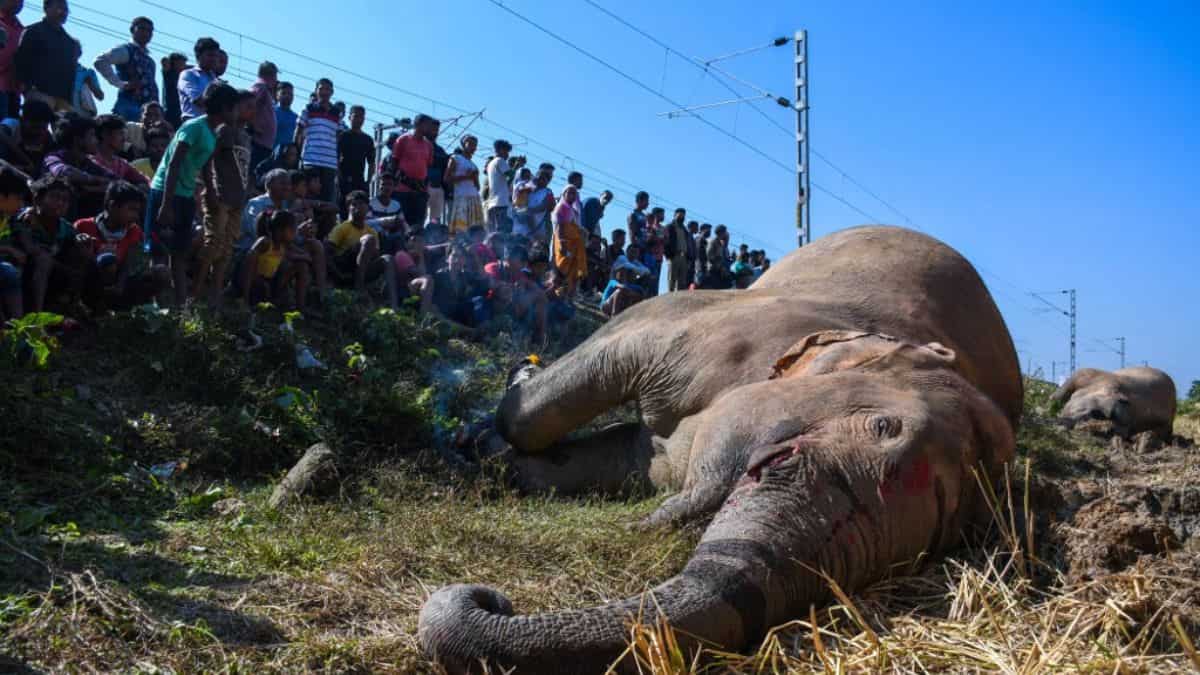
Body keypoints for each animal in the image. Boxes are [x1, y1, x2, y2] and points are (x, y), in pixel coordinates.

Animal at [419, 226, 1023, 673]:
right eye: (883, 427)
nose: (491, 597)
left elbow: (614, 460)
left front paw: (486, 447)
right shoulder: (704, 324)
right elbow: (578, 381)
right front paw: (499, 407)